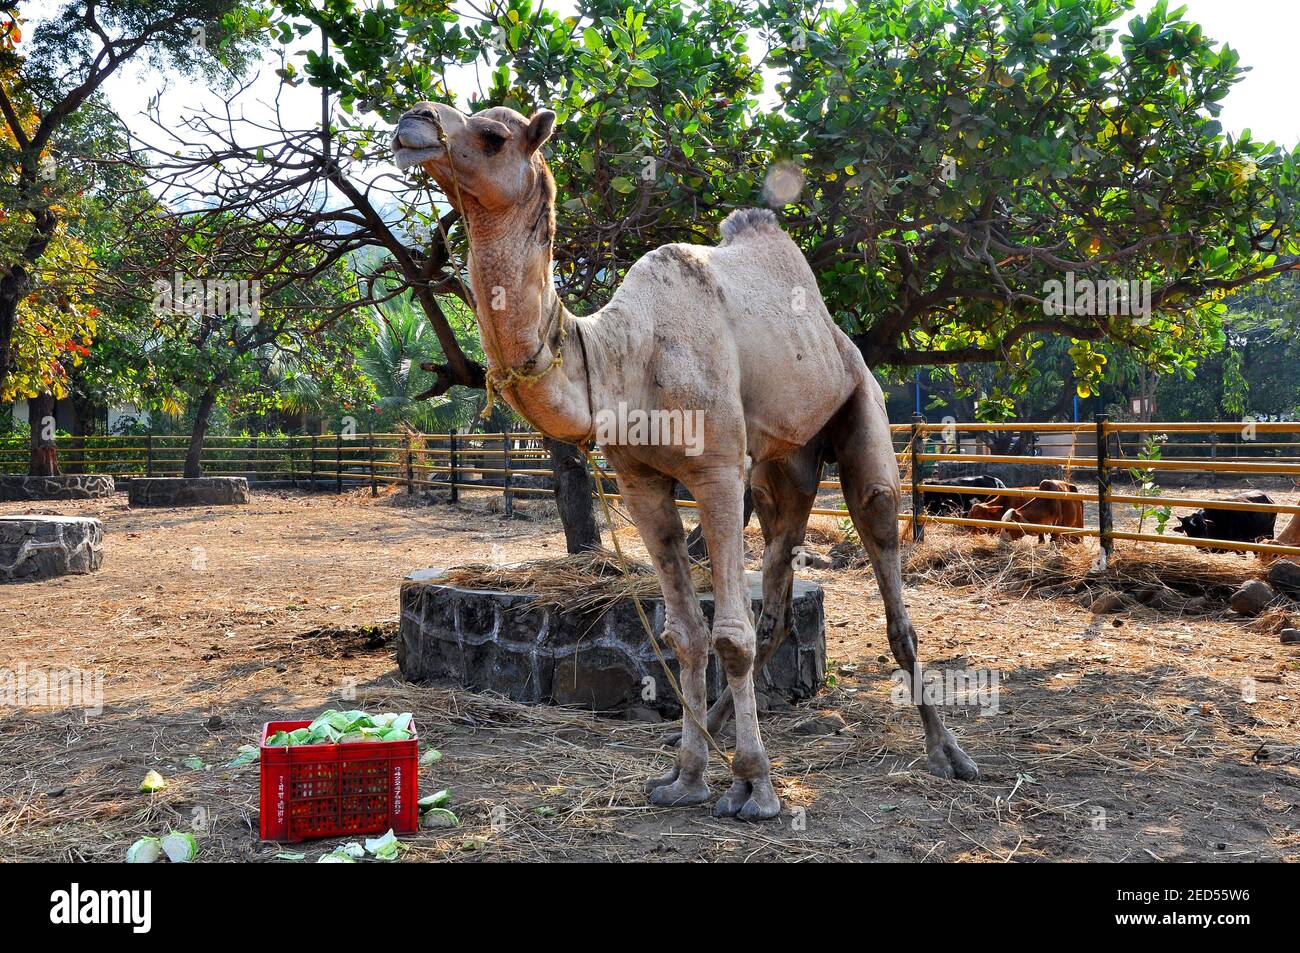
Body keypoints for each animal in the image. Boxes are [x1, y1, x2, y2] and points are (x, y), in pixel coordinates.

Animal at [392, 102, 978, 820]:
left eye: (493, 135)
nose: (413, 121)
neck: (618, 357)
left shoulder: (717, 470)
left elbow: (728, 634)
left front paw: (755, 786)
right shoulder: (640, 480)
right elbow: (685, 634)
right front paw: (688, 774)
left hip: (860, 406)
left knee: (884, 566)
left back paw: (947, 752)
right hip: (784, 465)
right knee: (776, 593)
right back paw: (717, 727)